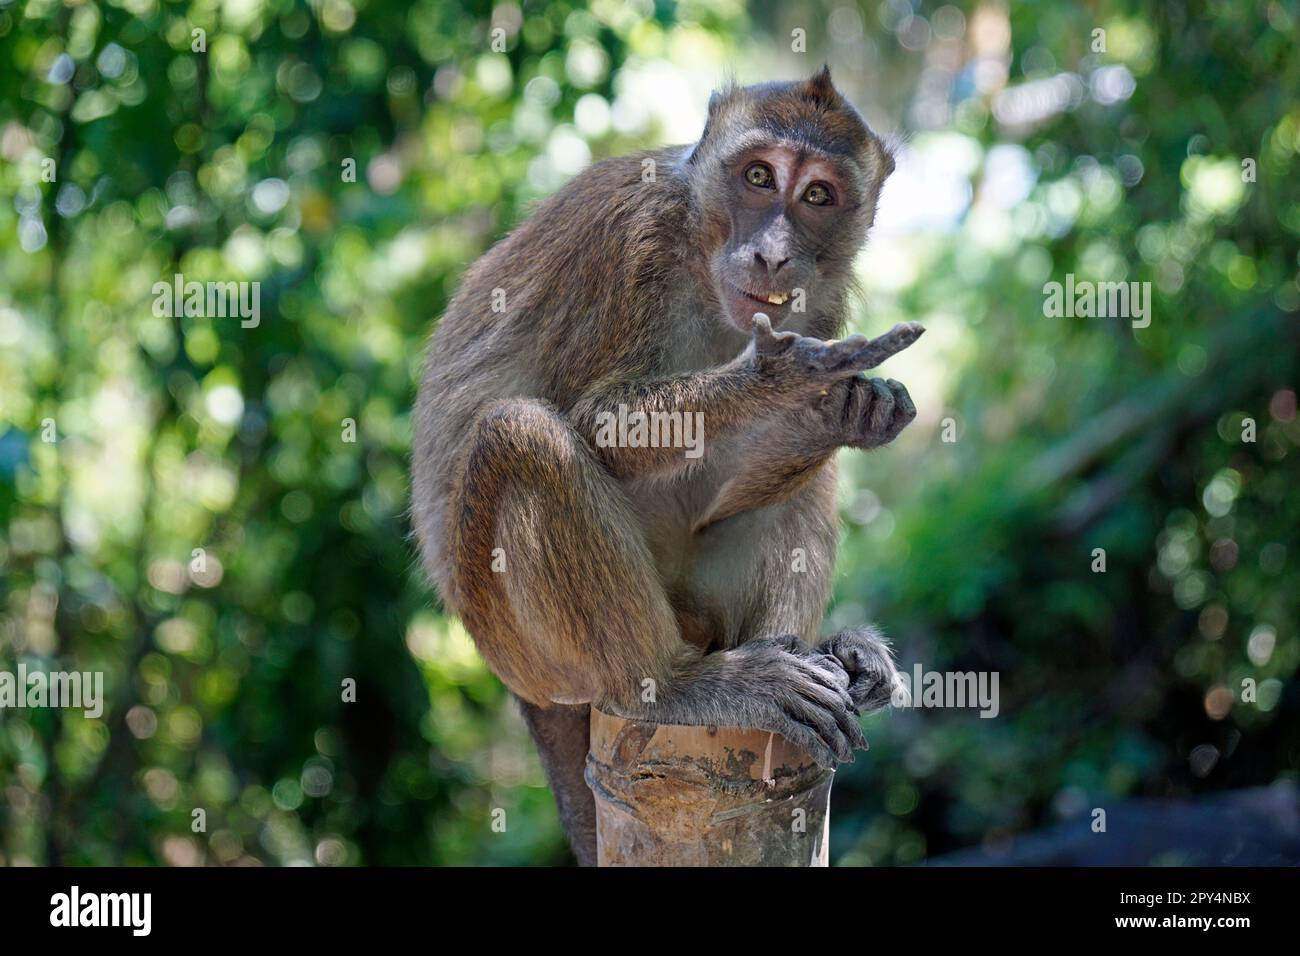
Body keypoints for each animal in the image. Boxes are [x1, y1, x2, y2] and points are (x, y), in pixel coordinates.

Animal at [411, 67, 923, 866]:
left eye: (818, 195)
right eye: (757, 176)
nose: (774, 255)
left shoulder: (824, 296)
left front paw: (846, 411)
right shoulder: (633, 237)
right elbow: (596, 420)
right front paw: (780, 377)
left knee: (804, 486)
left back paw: (829, 661)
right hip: (518, 642)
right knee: (518, 436)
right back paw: (673, 685)